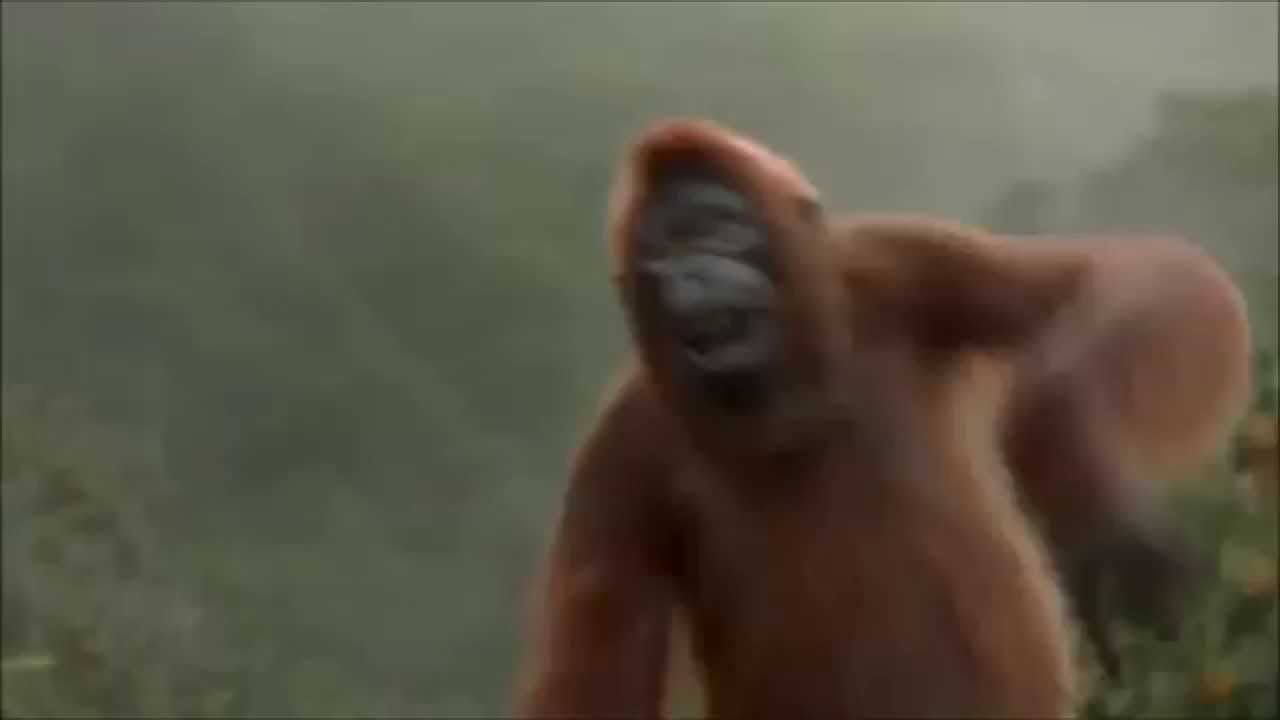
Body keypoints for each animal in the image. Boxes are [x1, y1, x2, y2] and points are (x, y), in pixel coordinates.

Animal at [511, 118, 1085, 719]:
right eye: (667, 246)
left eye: (720, 228)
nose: (690, 271)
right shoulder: (620, 443)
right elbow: (595, 663)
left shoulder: (906, 262)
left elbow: (1075, 292)